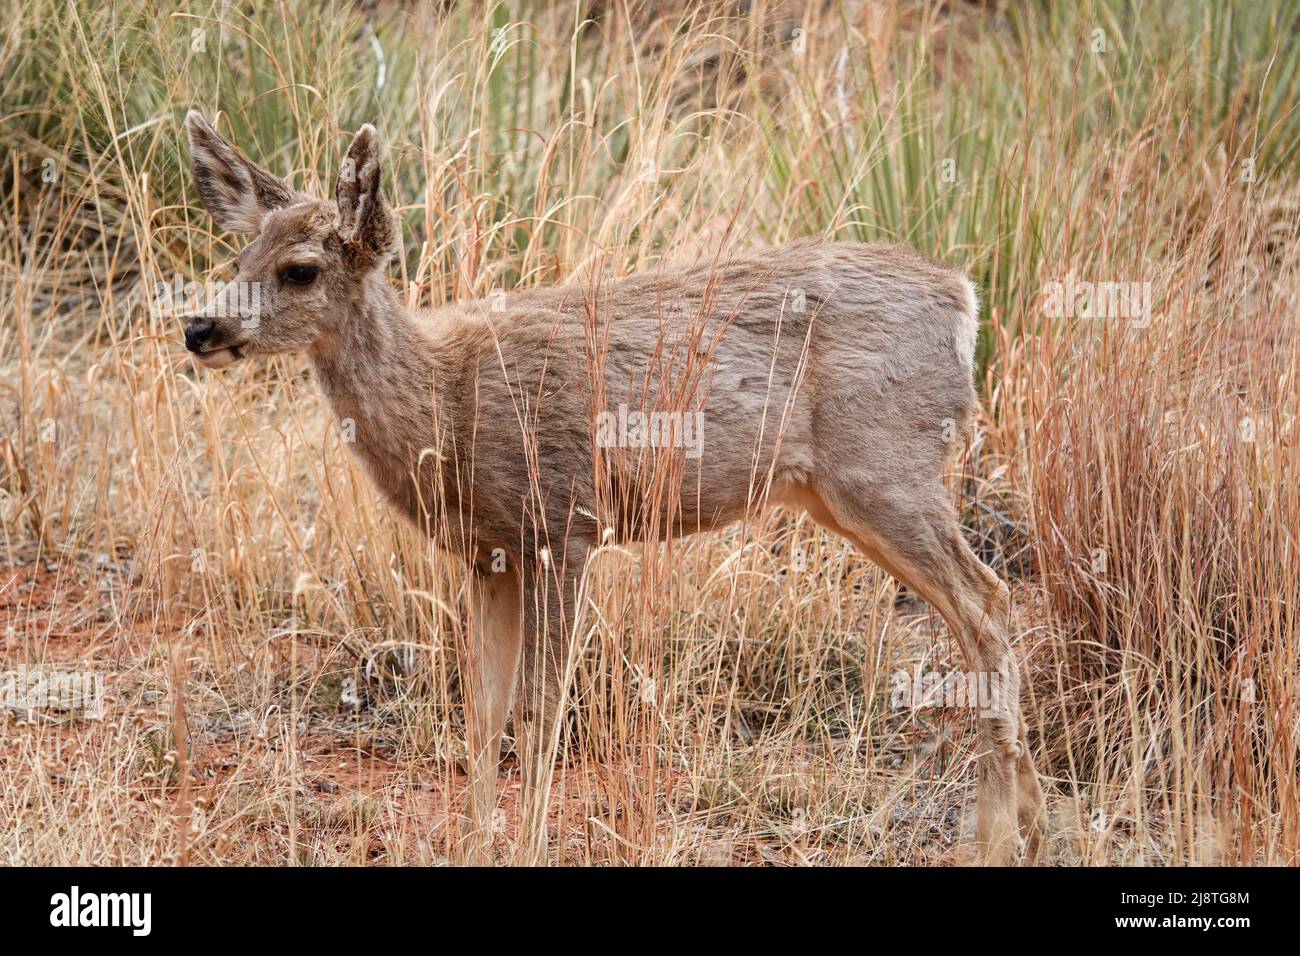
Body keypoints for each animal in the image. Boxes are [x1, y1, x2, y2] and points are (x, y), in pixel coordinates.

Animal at [181, 111, 1047, 865]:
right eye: (239, 260)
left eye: (300, 270)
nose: (198, 327)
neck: (446, 400)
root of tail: (964, 298)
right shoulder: (489, 553)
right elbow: (480, 712)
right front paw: (478, 844)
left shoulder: (565, 525)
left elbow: (540, 711)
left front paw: (527, 848)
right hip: (842, 494)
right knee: (980, 613)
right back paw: (1027, 824)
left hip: (887, 468)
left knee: (987, 601)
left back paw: (998, 839)